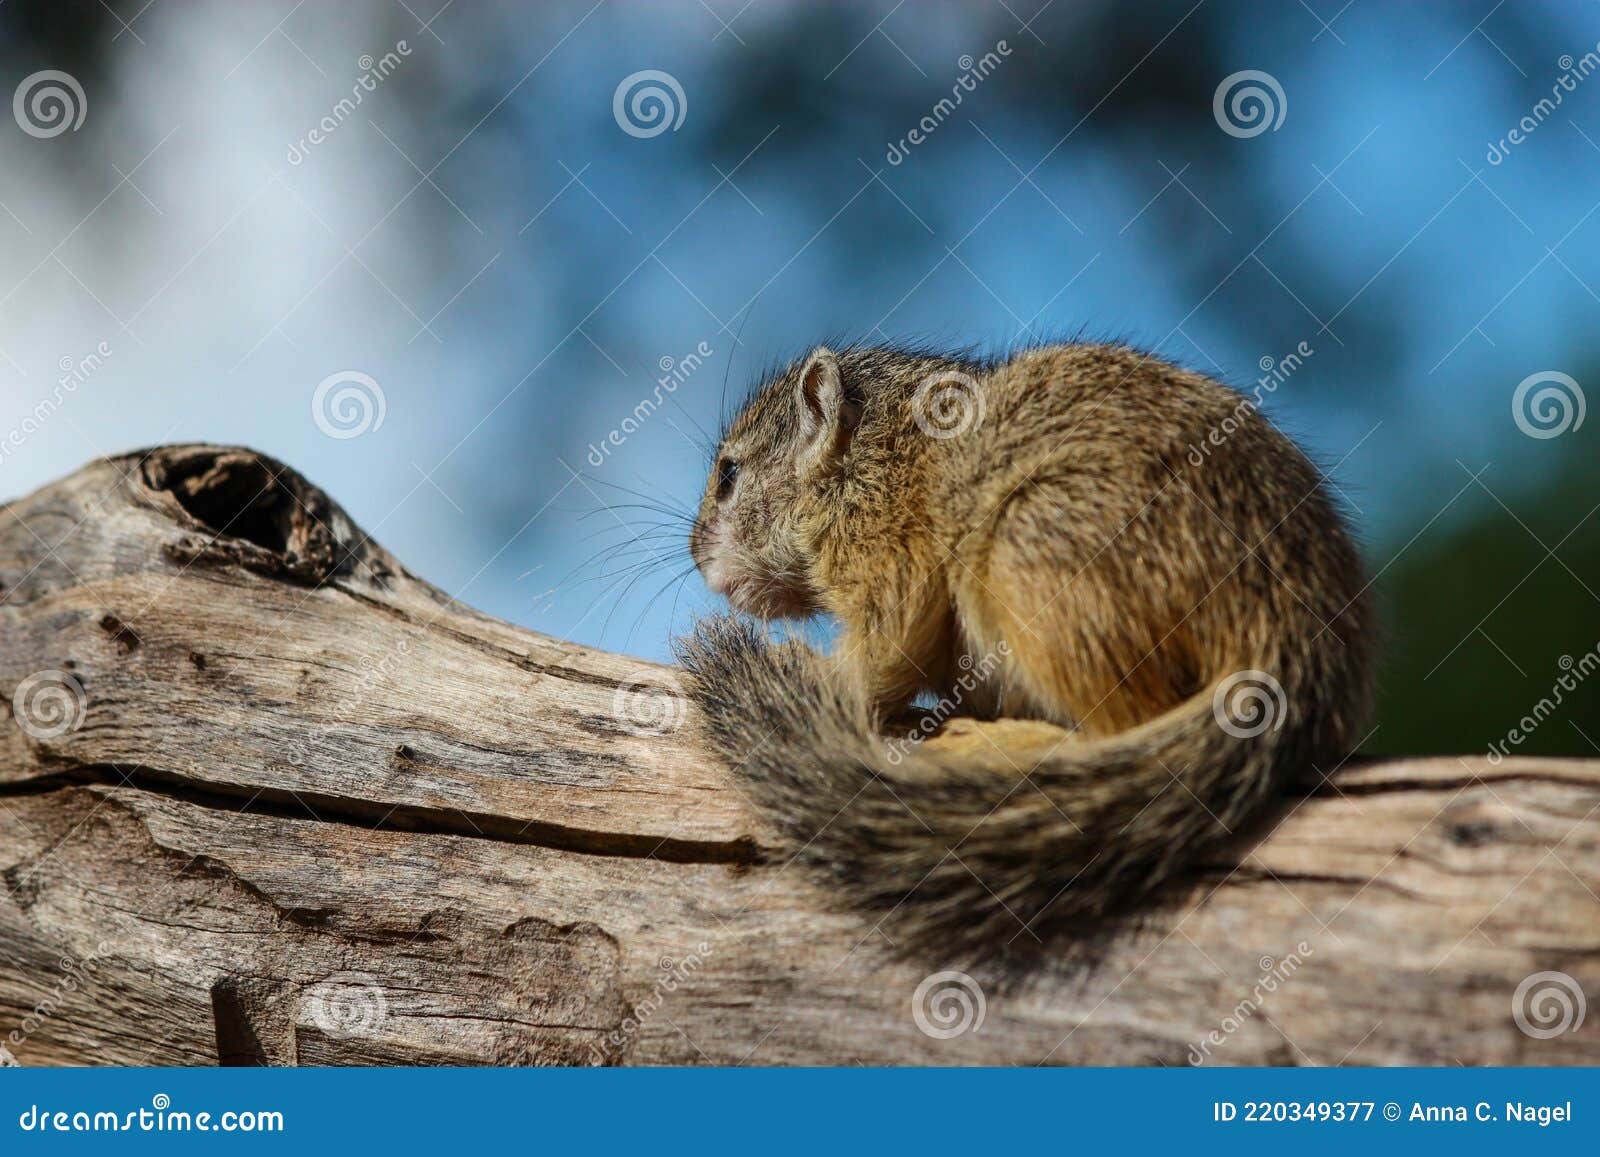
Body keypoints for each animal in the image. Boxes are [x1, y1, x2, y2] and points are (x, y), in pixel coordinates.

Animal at [675, 341, 1375, 958]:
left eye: (728, 474)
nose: (697, 558)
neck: (868, 445)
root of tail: (1294, 643)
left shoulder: (885, 549)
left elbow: (885, 648)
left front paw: (810, 669)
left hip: (1028, 541)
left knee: (1119, 723)